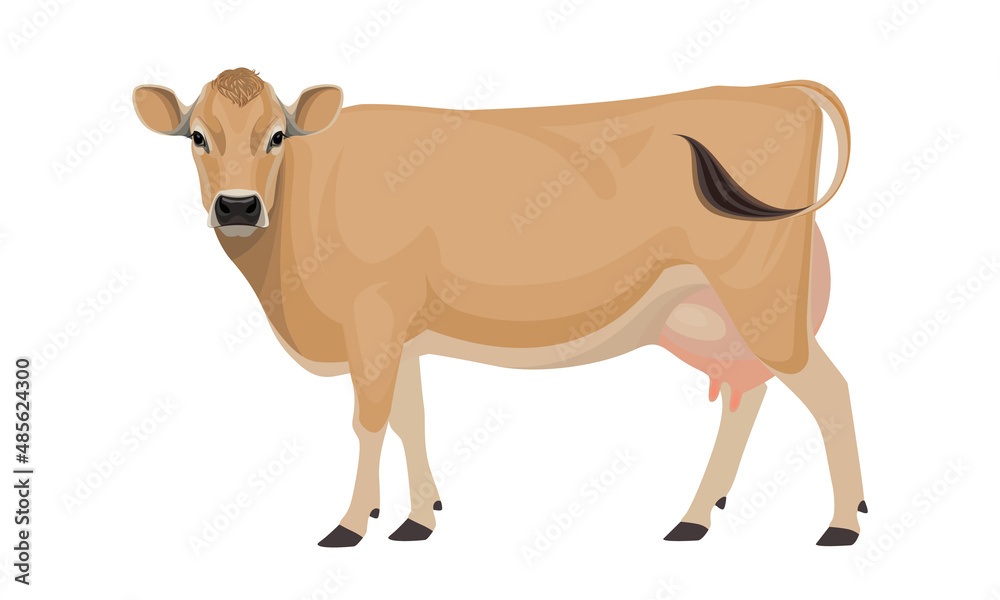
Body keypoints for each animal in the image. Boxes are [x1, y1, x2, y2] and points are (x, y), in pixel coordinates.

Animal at [133, 68, 864, 547]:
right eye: (196, 137)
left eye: (277, 136)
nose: (237, 207)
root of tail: (779, 89)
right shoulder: (402, 333)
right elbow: (410, 419)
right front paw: (417, 518)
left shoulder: (371, 320)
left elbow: (369, 422)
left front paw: (350, 524)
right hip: (720, 313)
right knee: (748, 392)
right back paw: (694, 518)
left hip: (762, 294)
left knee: (828, 389)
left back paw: (842, 523)